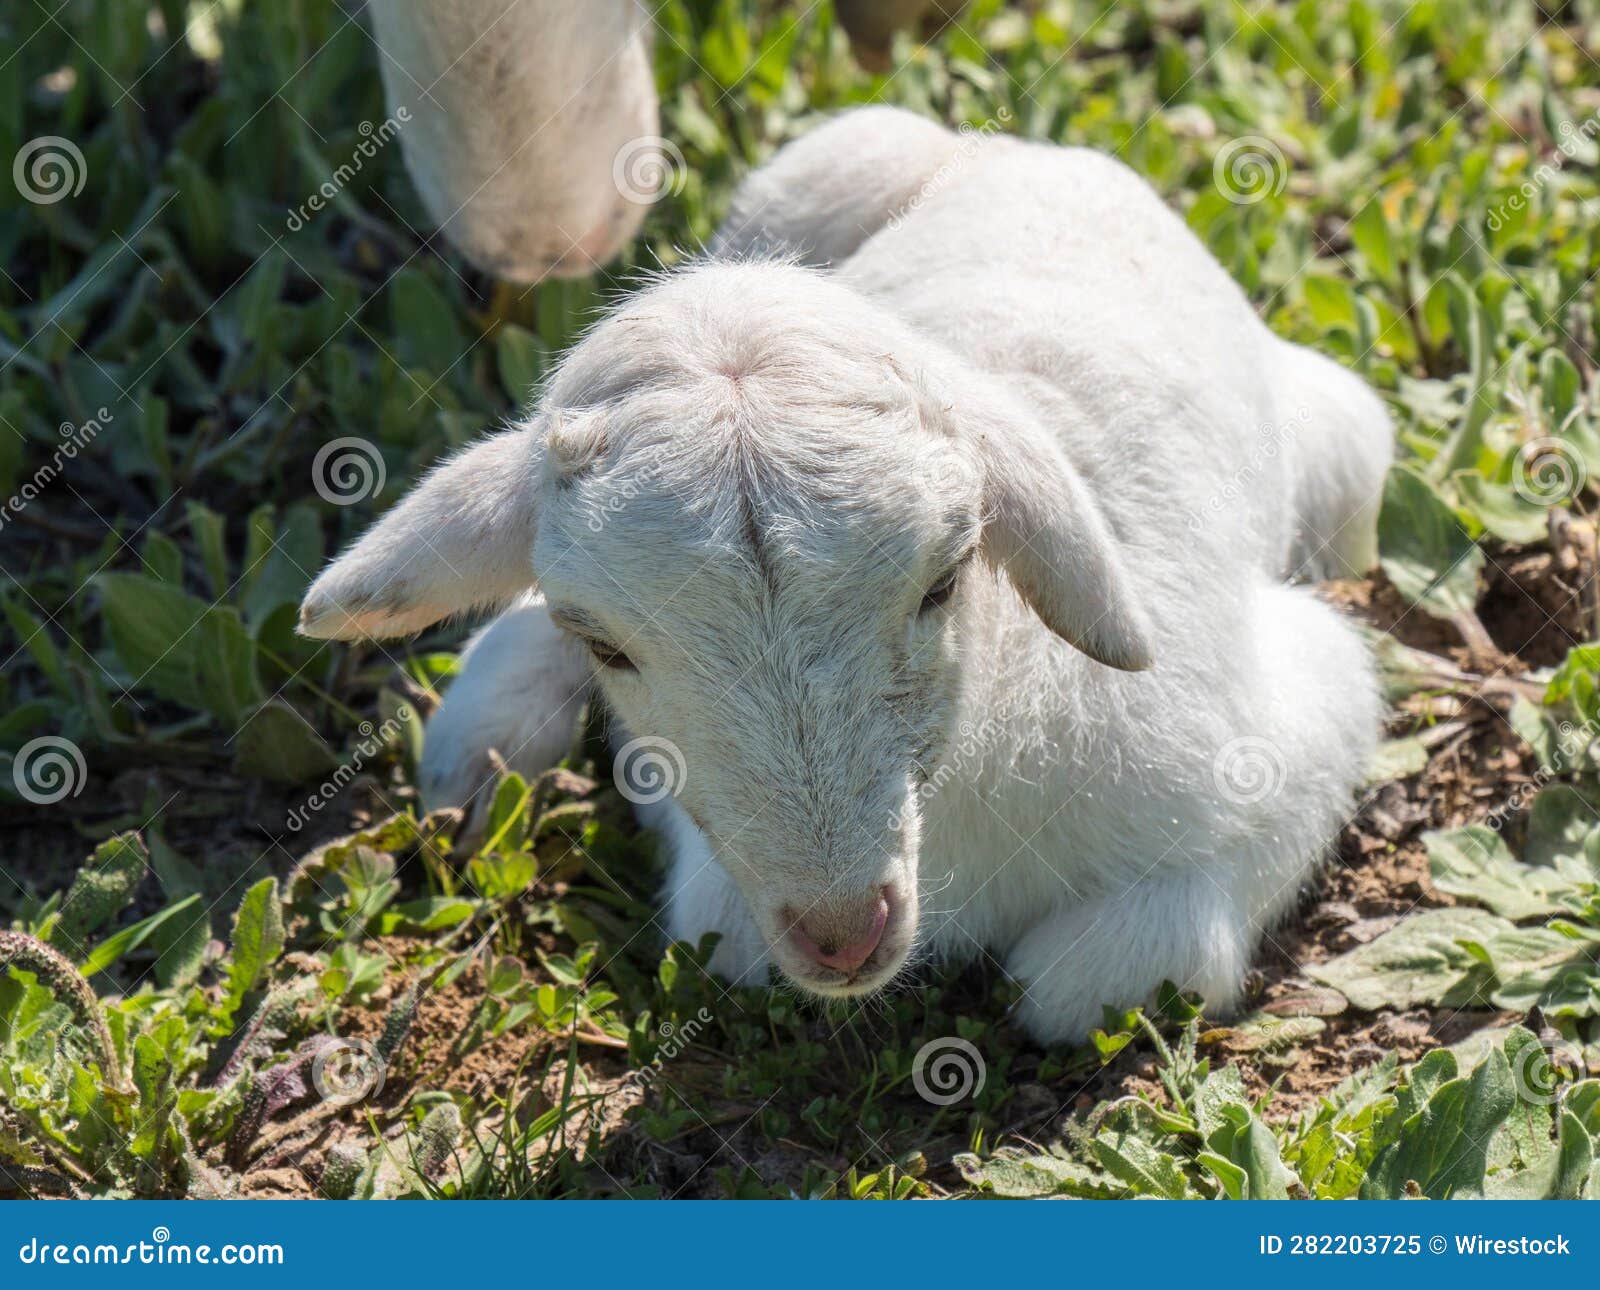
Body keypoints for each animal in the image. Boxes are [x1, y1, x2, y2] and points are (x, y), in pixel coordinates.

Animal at [299, 105, 1392, 1044]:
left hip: (1341, 462)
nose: (840, 932)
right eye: (607, 644)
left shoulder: (1281, 721)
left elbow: (1089, 981)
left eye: (944, 581)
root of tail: (1021, 155)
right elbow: (730, 938)